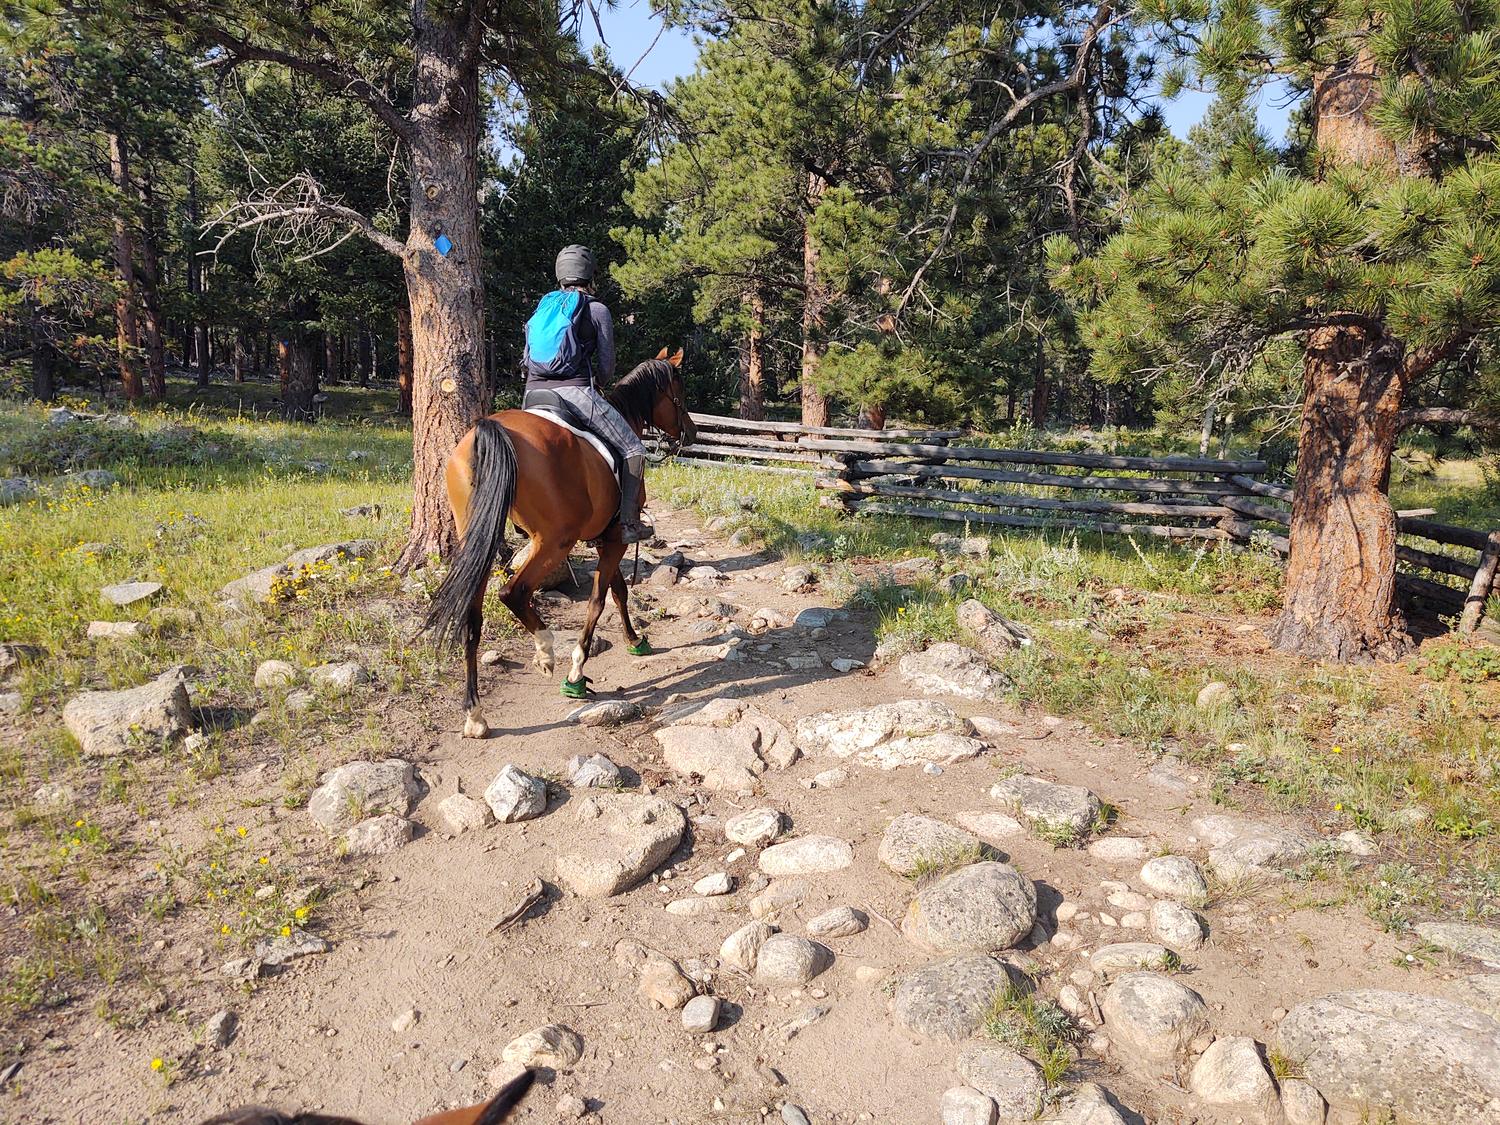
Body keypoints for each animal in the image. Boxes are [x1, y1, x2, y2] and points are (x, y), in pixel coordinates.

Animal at [424, 350, 694, 737]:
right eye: (678, 391)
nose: (691, 431)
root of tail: (488, 429)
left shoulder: (605, 538)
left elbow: (617, 591)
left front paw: (634, 640)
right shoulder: (615, 538)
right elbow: (599, 600)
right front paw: (577, 673)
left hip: (477, 542)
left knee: (471, 618)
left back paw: (475, 714)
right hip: (554, 542)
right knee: (513, 593)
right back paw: (546, 651)